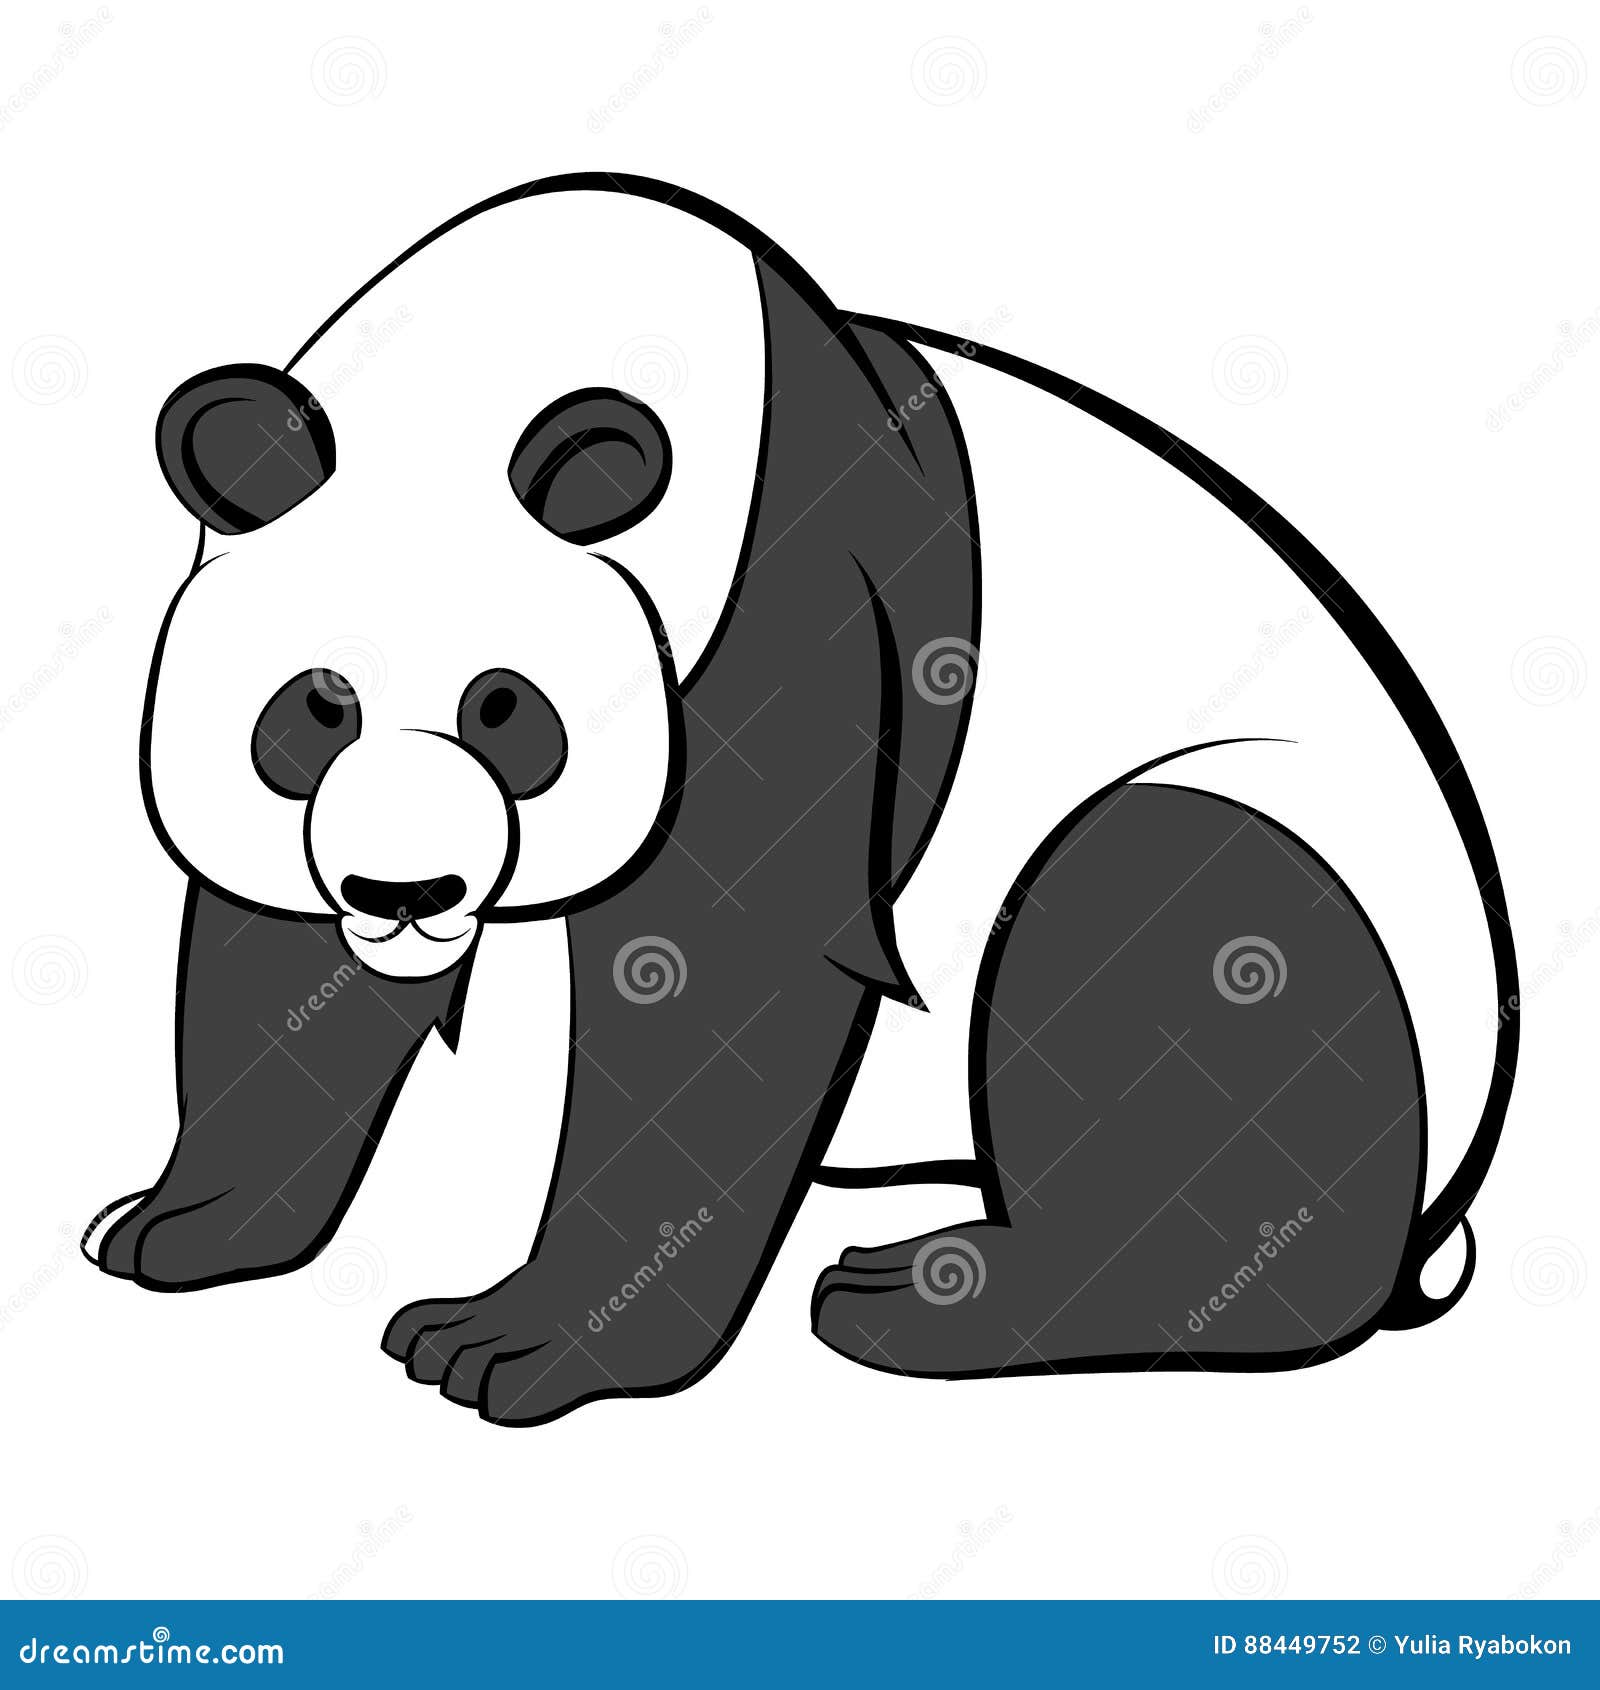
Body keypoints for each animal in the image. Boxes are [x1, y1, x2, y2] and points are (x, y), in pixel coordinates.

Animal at [87, 174, 1518, 1426]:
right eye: (314, 707)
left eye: (508, 710)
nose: (404, 891)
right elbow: (276, 963)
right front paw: (184, 1218)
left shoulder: (786, 610)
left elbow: (720, 980)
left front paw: (517, 1340)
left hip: (1268, 841)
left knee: (1169, 917)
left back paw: (931, 1295)